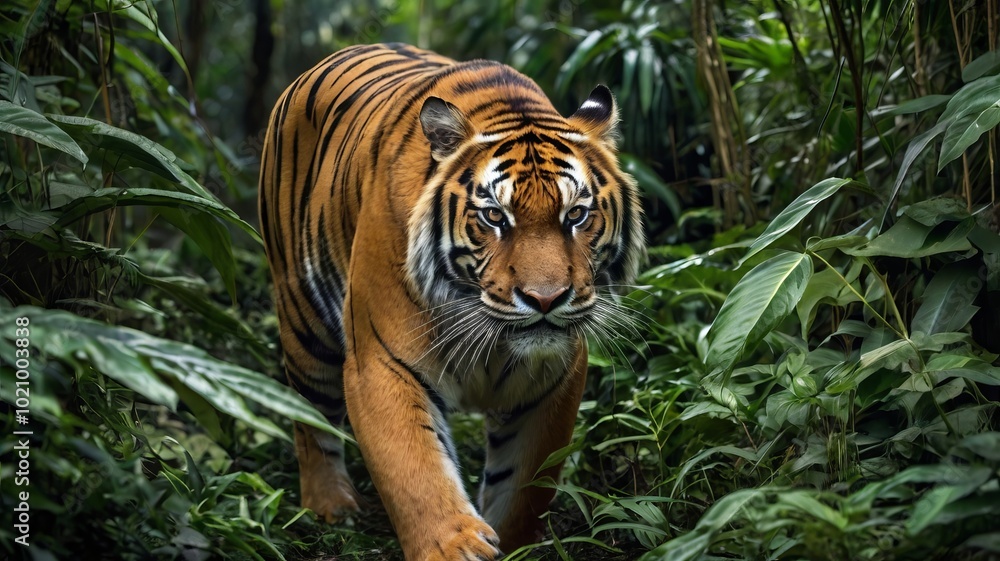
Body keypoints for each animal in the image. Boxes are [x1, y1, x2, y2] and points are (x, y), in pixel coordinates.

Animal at [258, 43, 644, 560]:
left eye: (577, 215)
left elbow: (524, 484)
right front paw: (454, 546)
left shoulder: (553, 382)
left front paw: (513, 544)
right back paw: (330, 506)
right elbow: (415, 470)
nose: (545, 299)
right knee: (310, 418)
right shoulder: (382, 362)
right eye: (495, 217)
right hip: (303, 322)